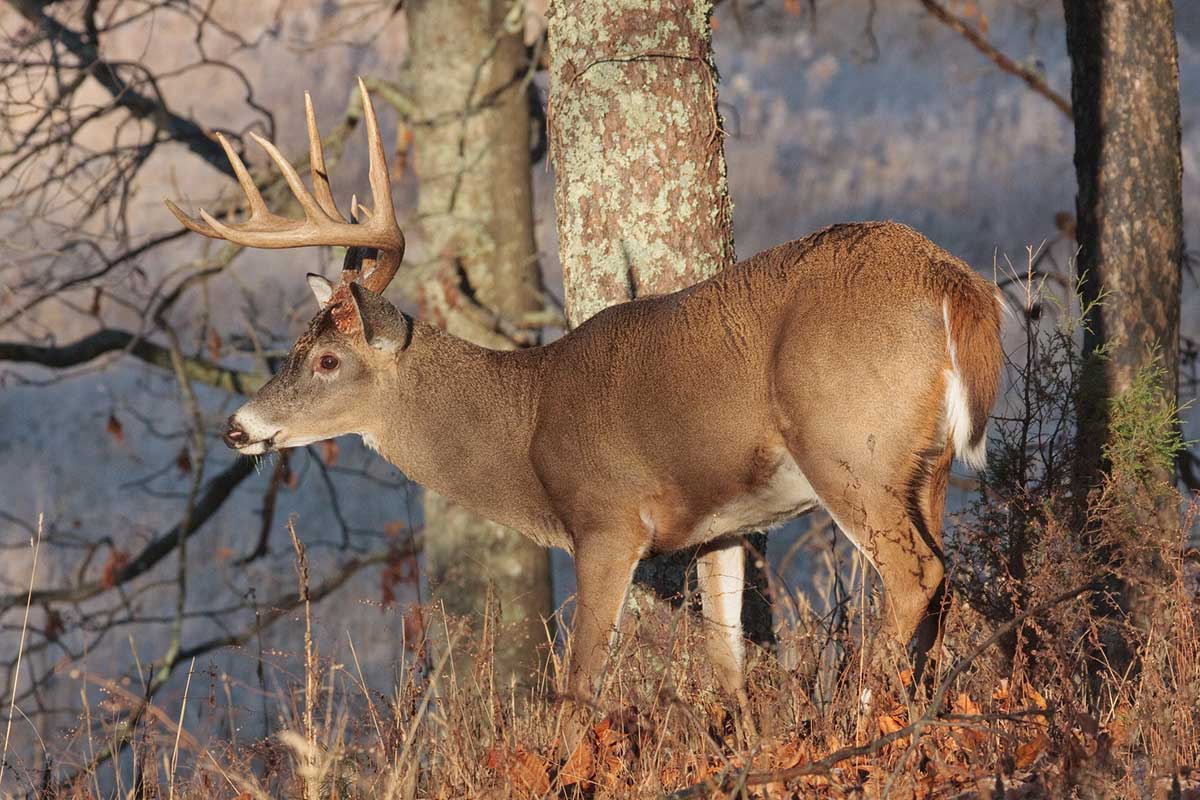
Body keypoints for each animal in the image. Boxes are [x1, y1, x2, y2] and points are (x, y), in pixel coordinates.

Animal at [167, 80, 1004, 747]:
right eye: (292, 345)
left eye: (327, 361)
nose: (239, 427)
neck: (527, 425)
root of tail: (953, 283)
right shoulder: (723, 524)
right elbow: (726, 662)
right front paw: (742, 748)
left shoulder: (604, 519)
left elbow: (576, 683)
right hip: (923, 467)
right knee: (943, 579)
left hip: (848, 446)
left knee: (916, 573)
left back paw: (864, 722)